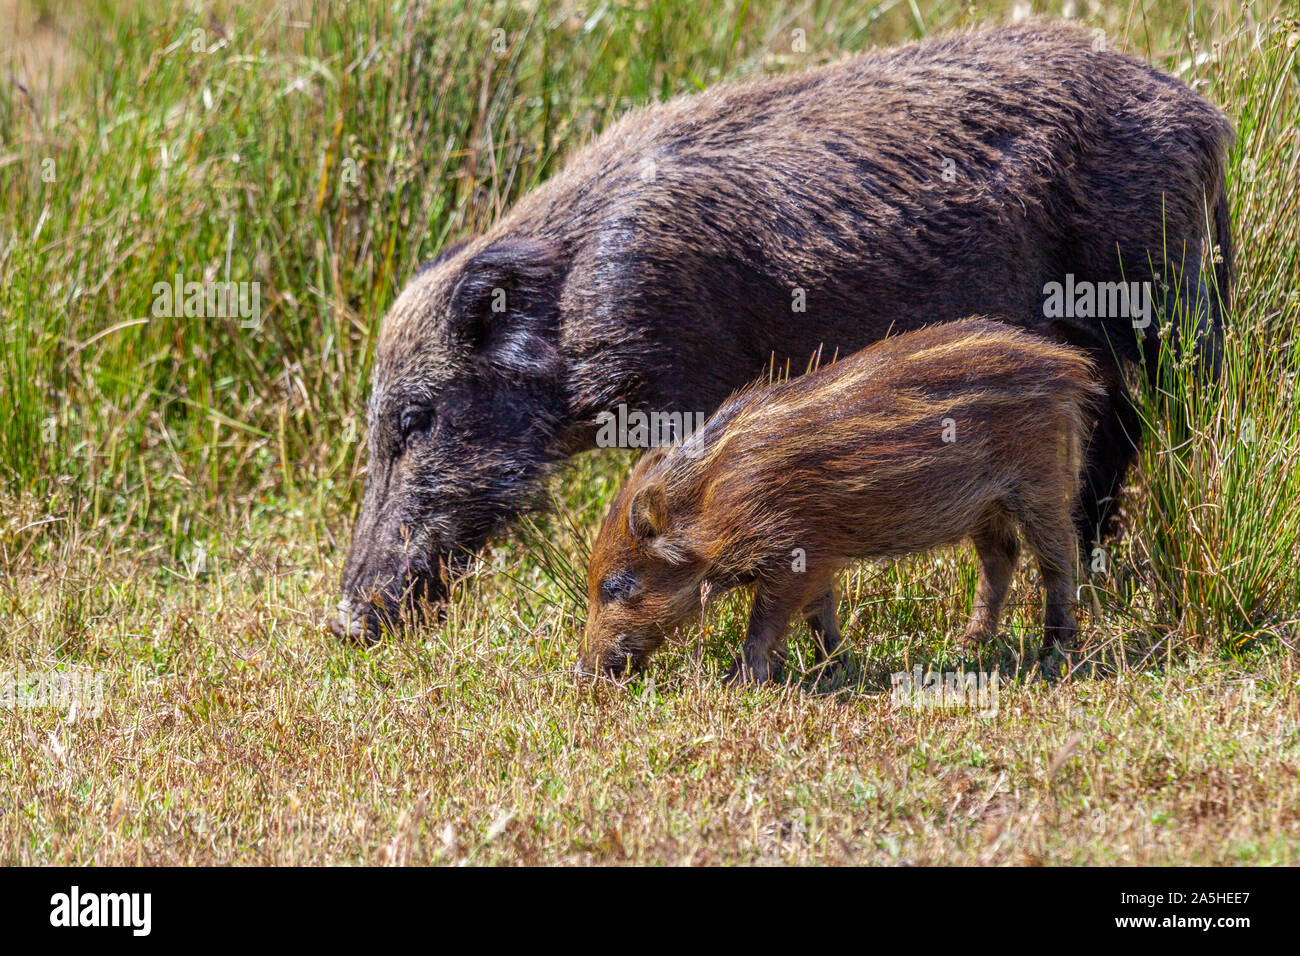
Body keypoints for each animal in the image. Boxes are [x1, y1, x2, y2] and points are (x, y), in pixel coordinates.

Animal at [331, 20, 1232, 642]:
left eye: (416, 418)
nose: (344, 623)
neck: (584, 302)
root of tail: (1206, 117)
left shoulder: (690, 382)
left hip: (1161, 294)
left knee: (1180, 414)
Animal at [580, 319, 1105, 681]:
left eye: (618, 586)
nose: (583, 674)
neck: (713, 499)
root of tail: (1067, 362)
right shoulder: (816, 553)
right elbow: (820, 614)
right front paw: (837, 668)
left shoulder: (794, 549)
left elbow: (766, 621)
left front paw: (740, 679)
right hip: (982, 504)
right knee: (1001, 557)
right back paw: (968, 647)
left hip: (1040, 479)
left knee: (1058, 556)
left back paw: (1054, 649)